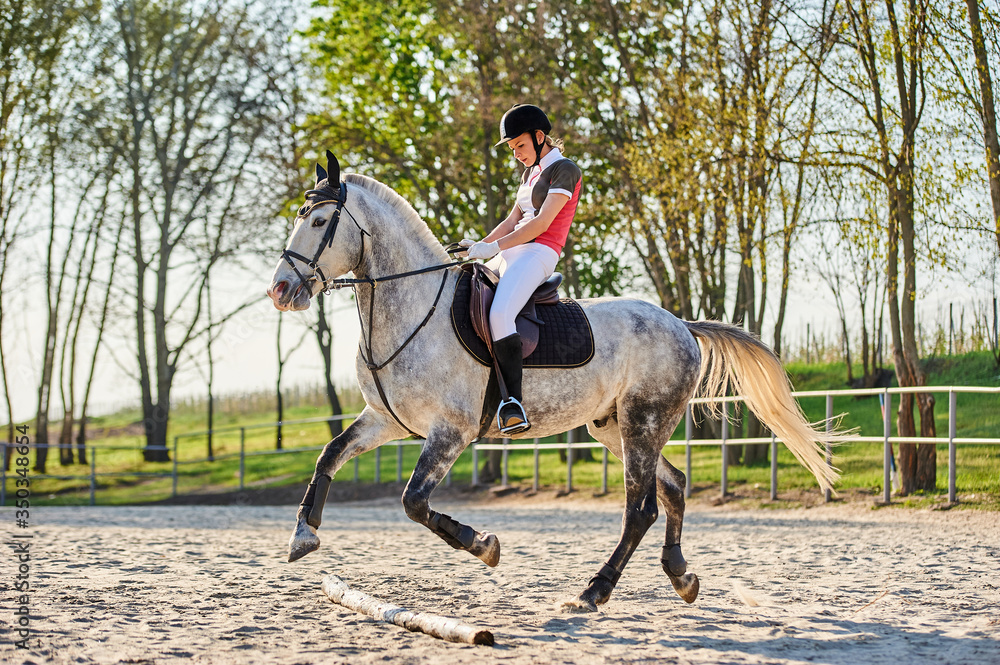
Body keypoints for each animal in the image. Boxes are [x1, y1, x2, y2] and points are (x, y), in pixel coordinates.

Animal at [266, 151, 840, 612]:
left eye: (320, 220)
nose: (280, 290)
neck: (411, 306)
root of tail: (681, 324)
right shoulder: (386, 420)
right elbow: (329, 454)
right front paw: (302, 536)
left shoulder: (450, 432)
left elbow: (414, 502)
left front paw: (485, 545)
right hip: (614, 428)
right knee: (674, 486)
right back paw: (681, 577)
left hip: (642, 423)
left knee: (641, 508)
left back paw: (593, 591)